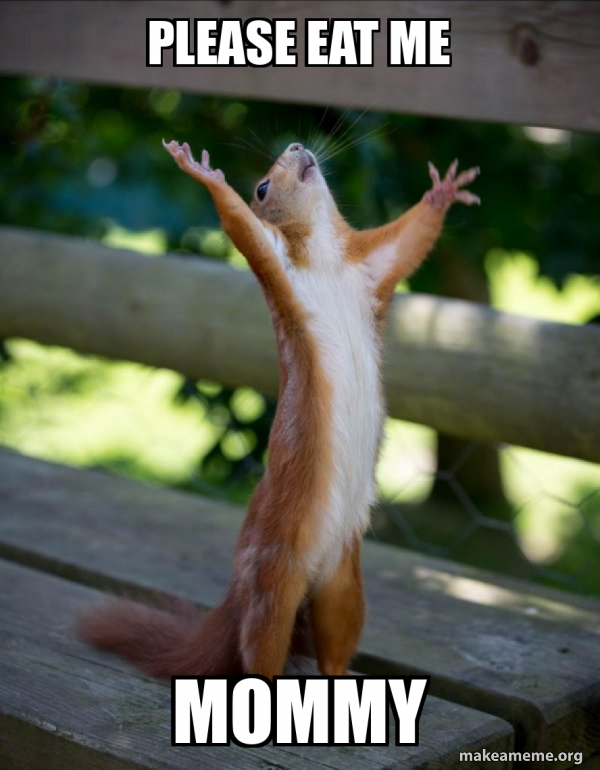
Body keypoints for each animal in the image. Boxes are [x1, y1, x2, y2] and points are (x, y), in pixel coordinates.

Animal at [77, 139, 479, 679]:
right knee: (260, 649)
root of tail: (239, 590)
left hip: (344, 585)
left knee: (336, 640)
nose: (296, 146)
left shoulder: (372, 266)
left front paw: (442, 193)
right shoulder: (277, 264)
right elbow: (240, 226)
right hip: (273, 583)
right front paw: (204, 173)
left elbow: (410, 239)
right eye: (262, 187)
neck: (326, 259)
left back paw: (340, 675)